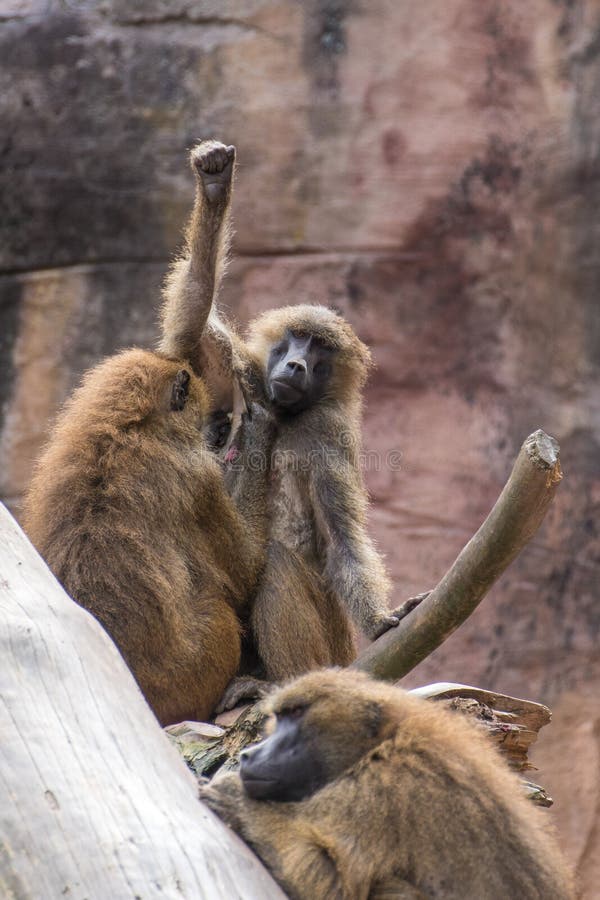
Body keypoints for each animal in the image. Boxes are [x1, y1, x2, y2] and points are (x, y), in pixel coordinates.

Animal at [23, 345, 273, 726]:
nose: (218, 424)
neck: (122, 431)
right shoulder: (198, 478)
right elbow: (245, 574)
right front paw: (256, 433)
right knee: (218, 608)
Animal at [158, 141, 427, 709]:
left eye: (319, 349)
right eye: (294, 339)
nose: (297, 365)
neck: (287, 415)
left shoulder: (330, 434)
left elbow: (343, 539)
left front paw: (382, 621)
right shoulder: (246, 369)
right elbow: (191, 329)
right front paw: (214, 185)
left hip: (331, 644)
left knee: (278, 563)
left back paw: (277, 682)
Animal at [200, 669, 575, 900]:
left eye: (297, 714)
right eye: (279, 719)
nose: (249, 755)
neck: (382, 743)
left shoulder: (383, 789)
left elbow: (331, 884)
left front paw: (235, 800)